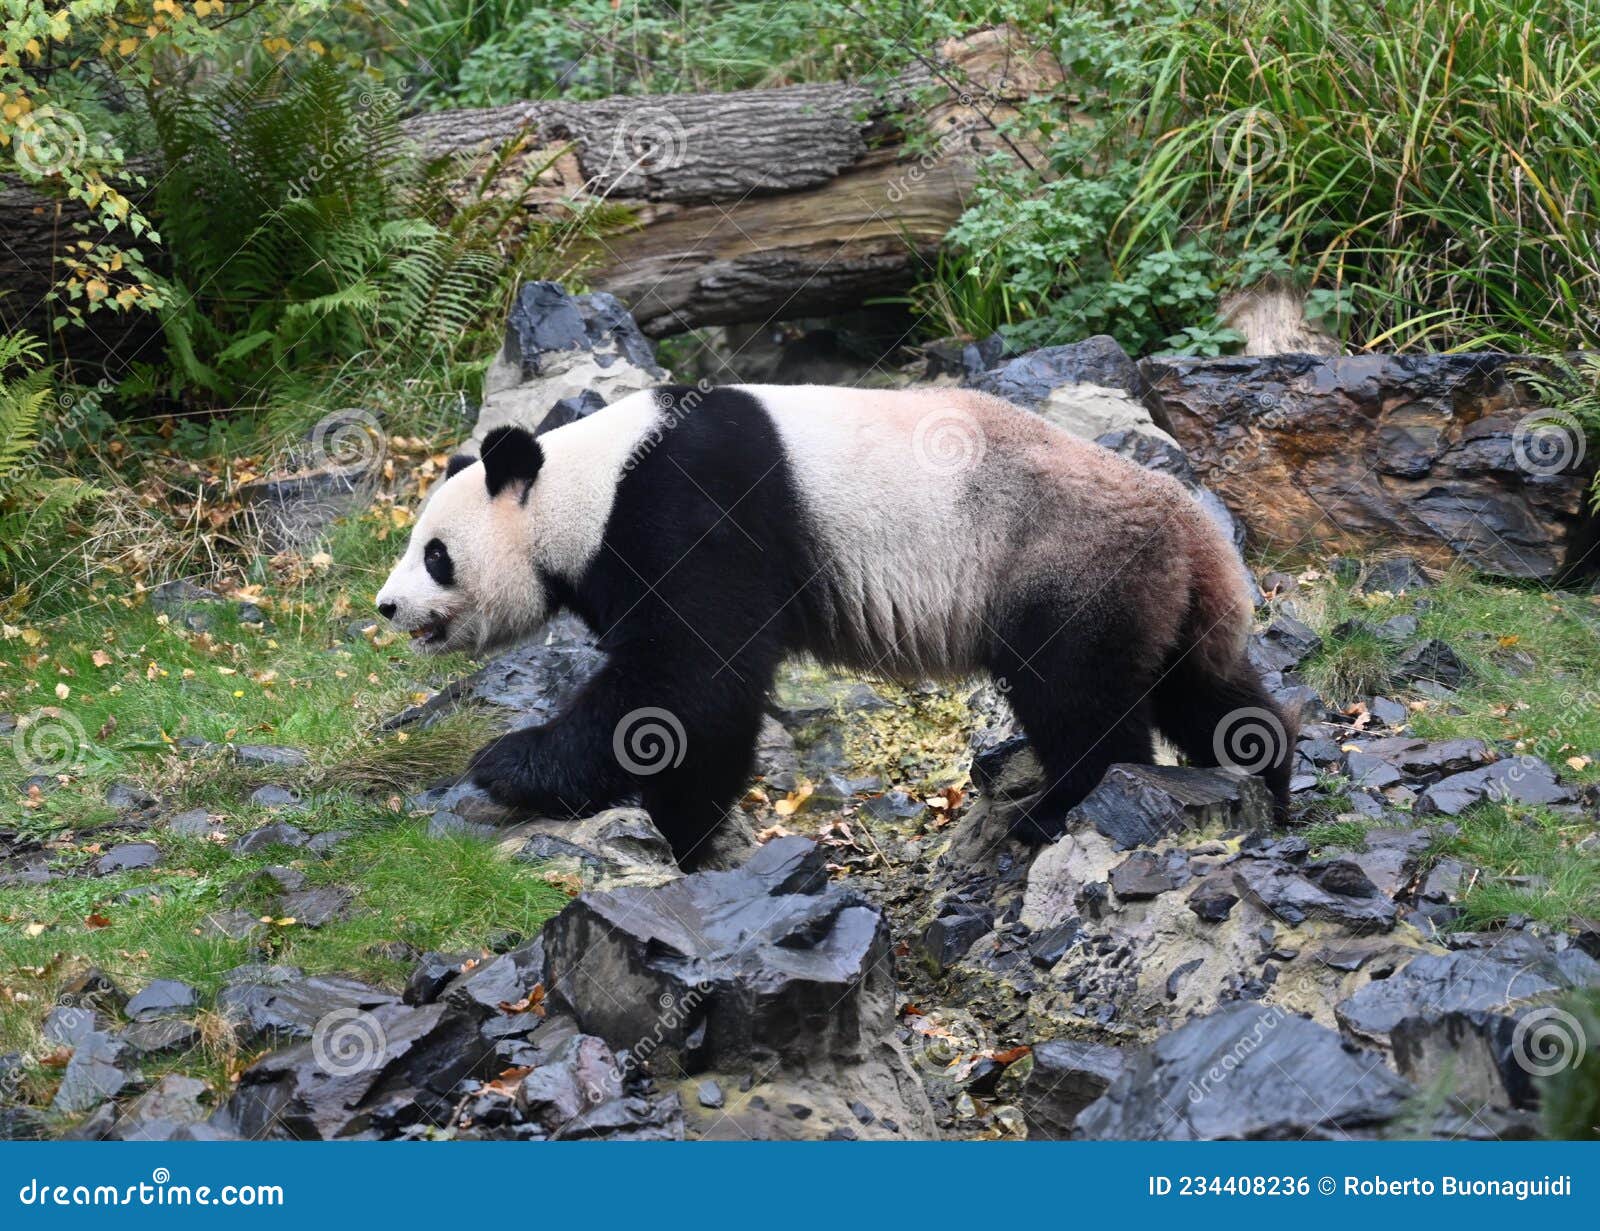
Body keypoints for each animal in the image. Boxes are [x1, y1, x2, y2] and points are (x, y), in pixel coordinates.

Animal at [376, 383, 1292, 866]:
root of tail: (1196, 527)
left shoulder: (693, 509)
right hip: (1160, 596)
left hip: (1064, 562)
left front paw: (510, 766)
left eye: (435, 554)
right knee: (1204, 690)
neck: (590, 482)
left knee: (1081, 699)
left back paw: (1052, 812)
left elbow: (691, 679)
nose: (387, 607)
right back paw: (1268, 775)